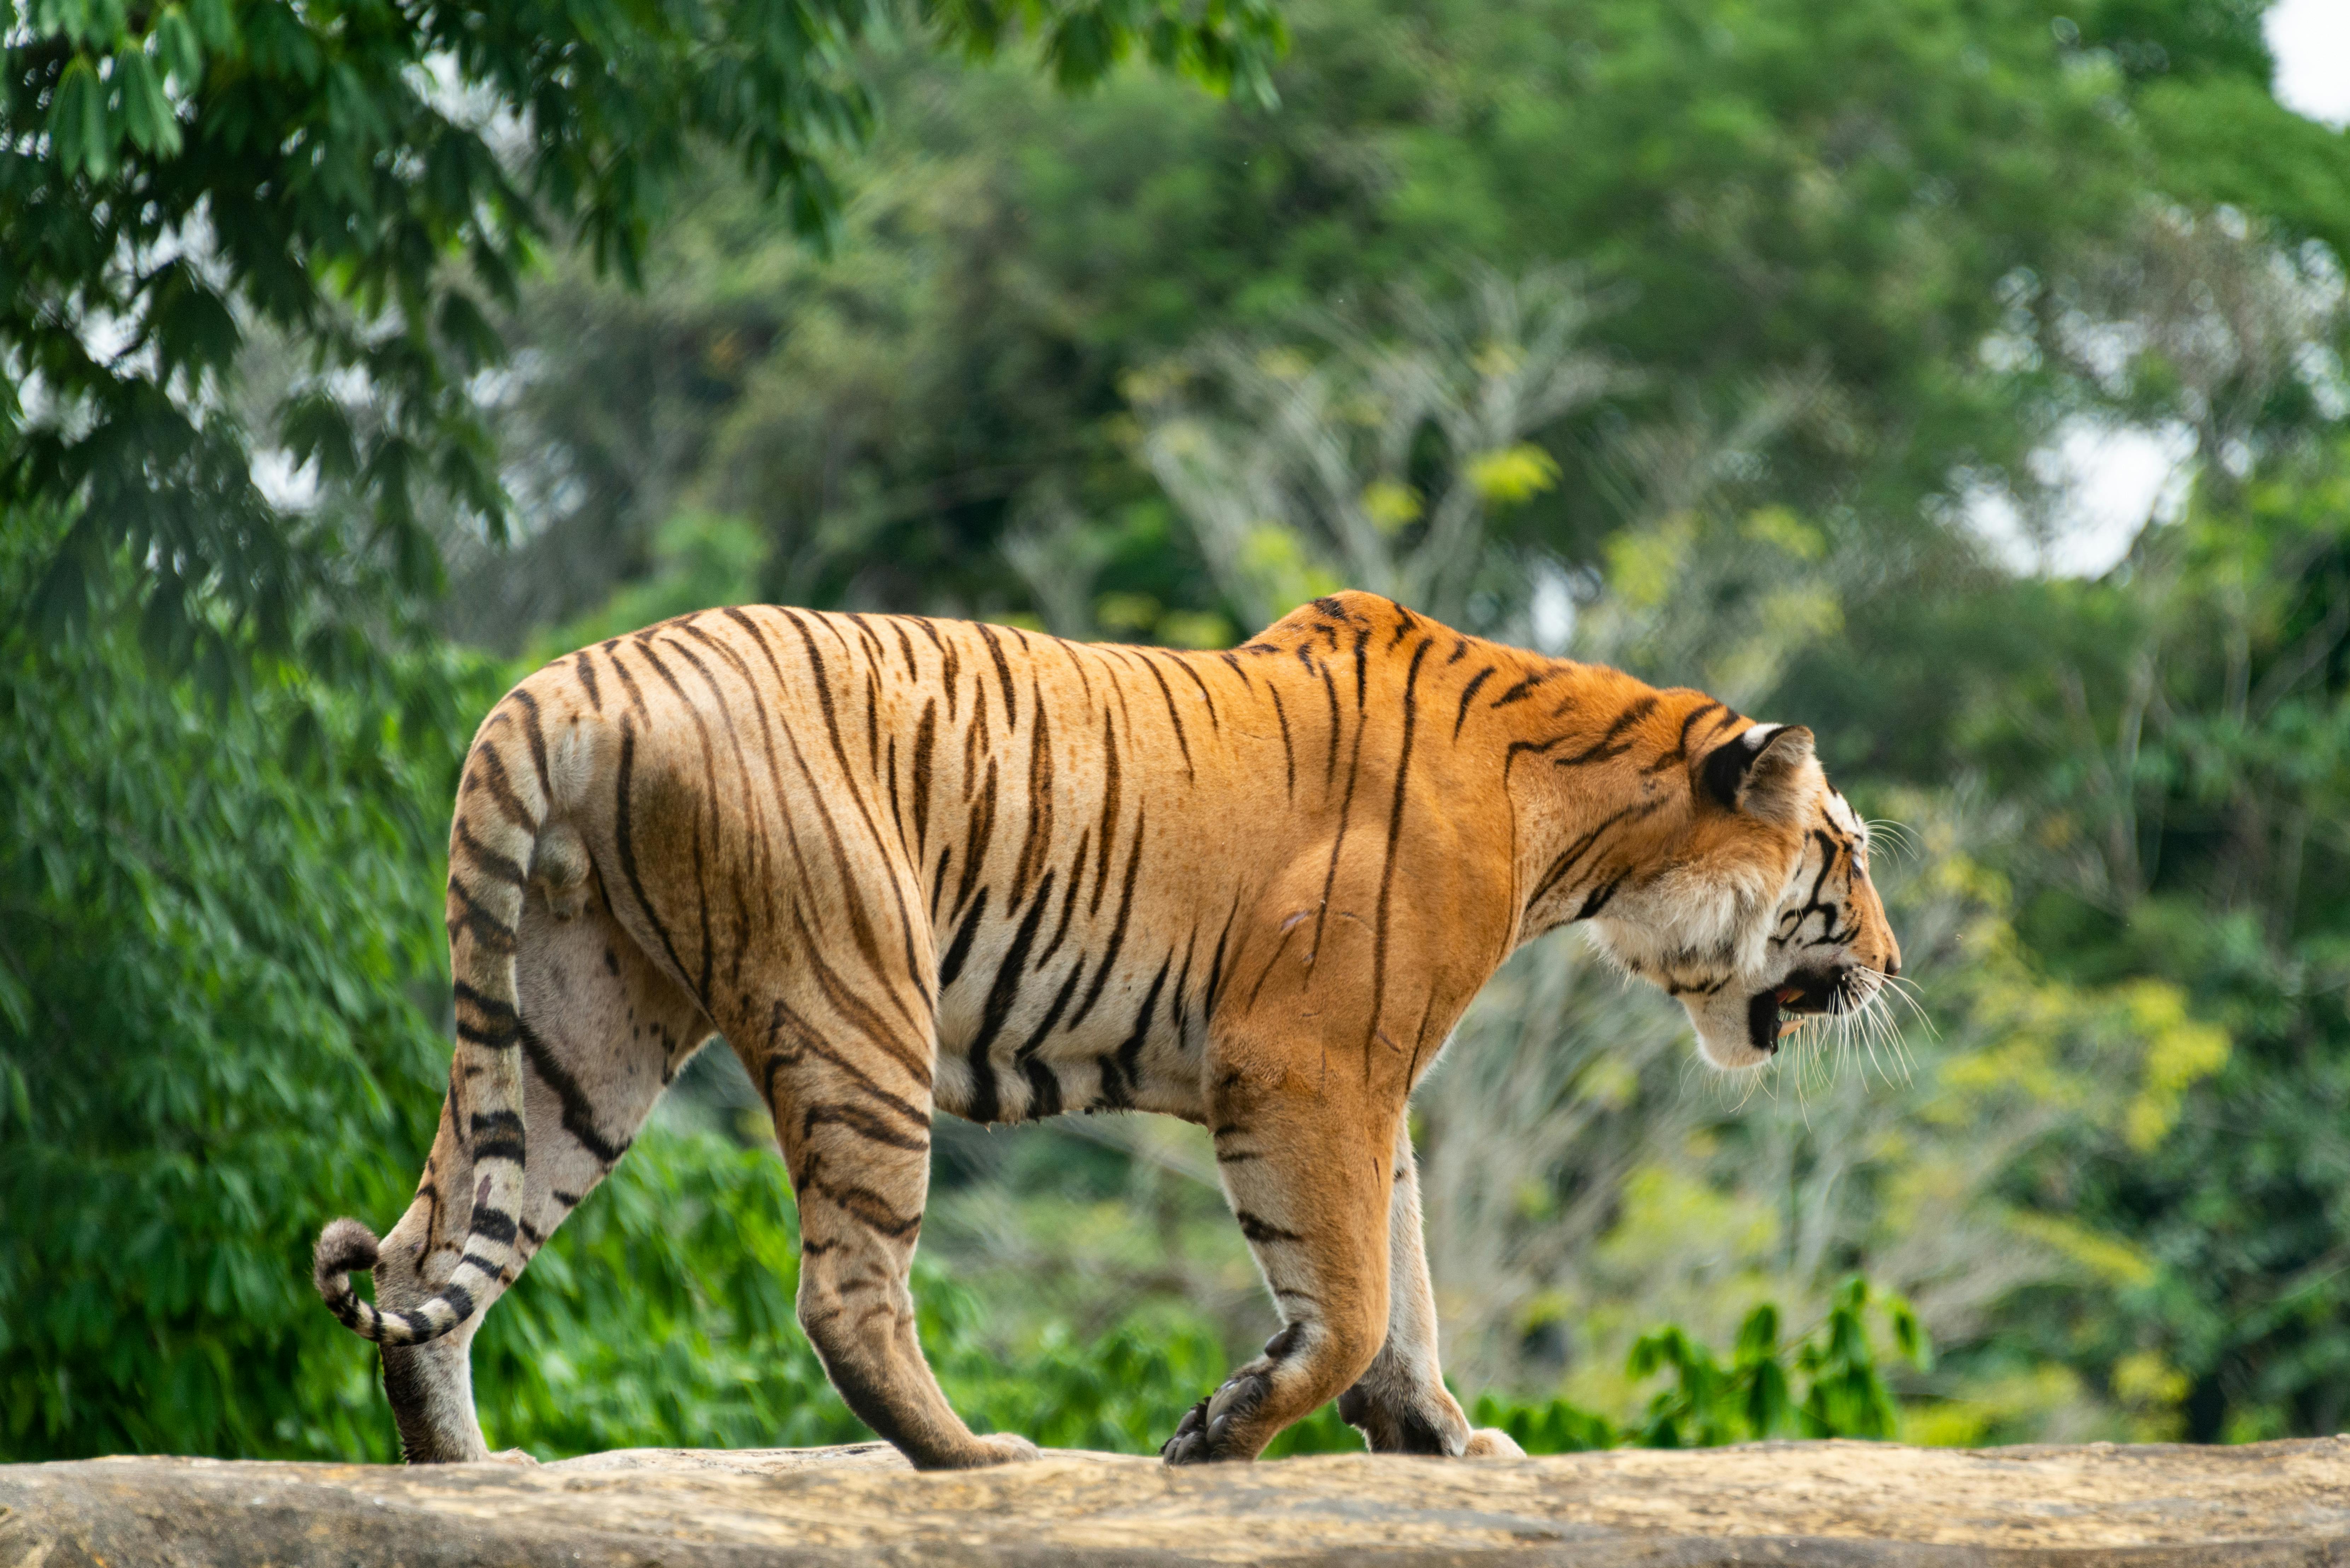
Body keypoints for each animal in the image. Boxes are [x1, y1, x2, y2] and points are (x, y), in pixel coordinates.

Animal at [313, 589, 1901, 1468]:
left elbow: (1402, 1284)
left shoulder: (1368, 1077)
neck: (1585, 827)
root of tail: (559, 685)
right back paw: (976, 1458)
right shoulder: (1306, 1061)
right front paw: (1223, 1431)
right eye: (1847, 854)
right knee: (845, 1292)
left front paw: (1442, 1435)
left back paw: (468, 1473)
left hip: (578, 1028)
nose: (1890, 963)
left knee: (427, 1253)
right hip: (857, 998)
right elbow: (1353, 1294)